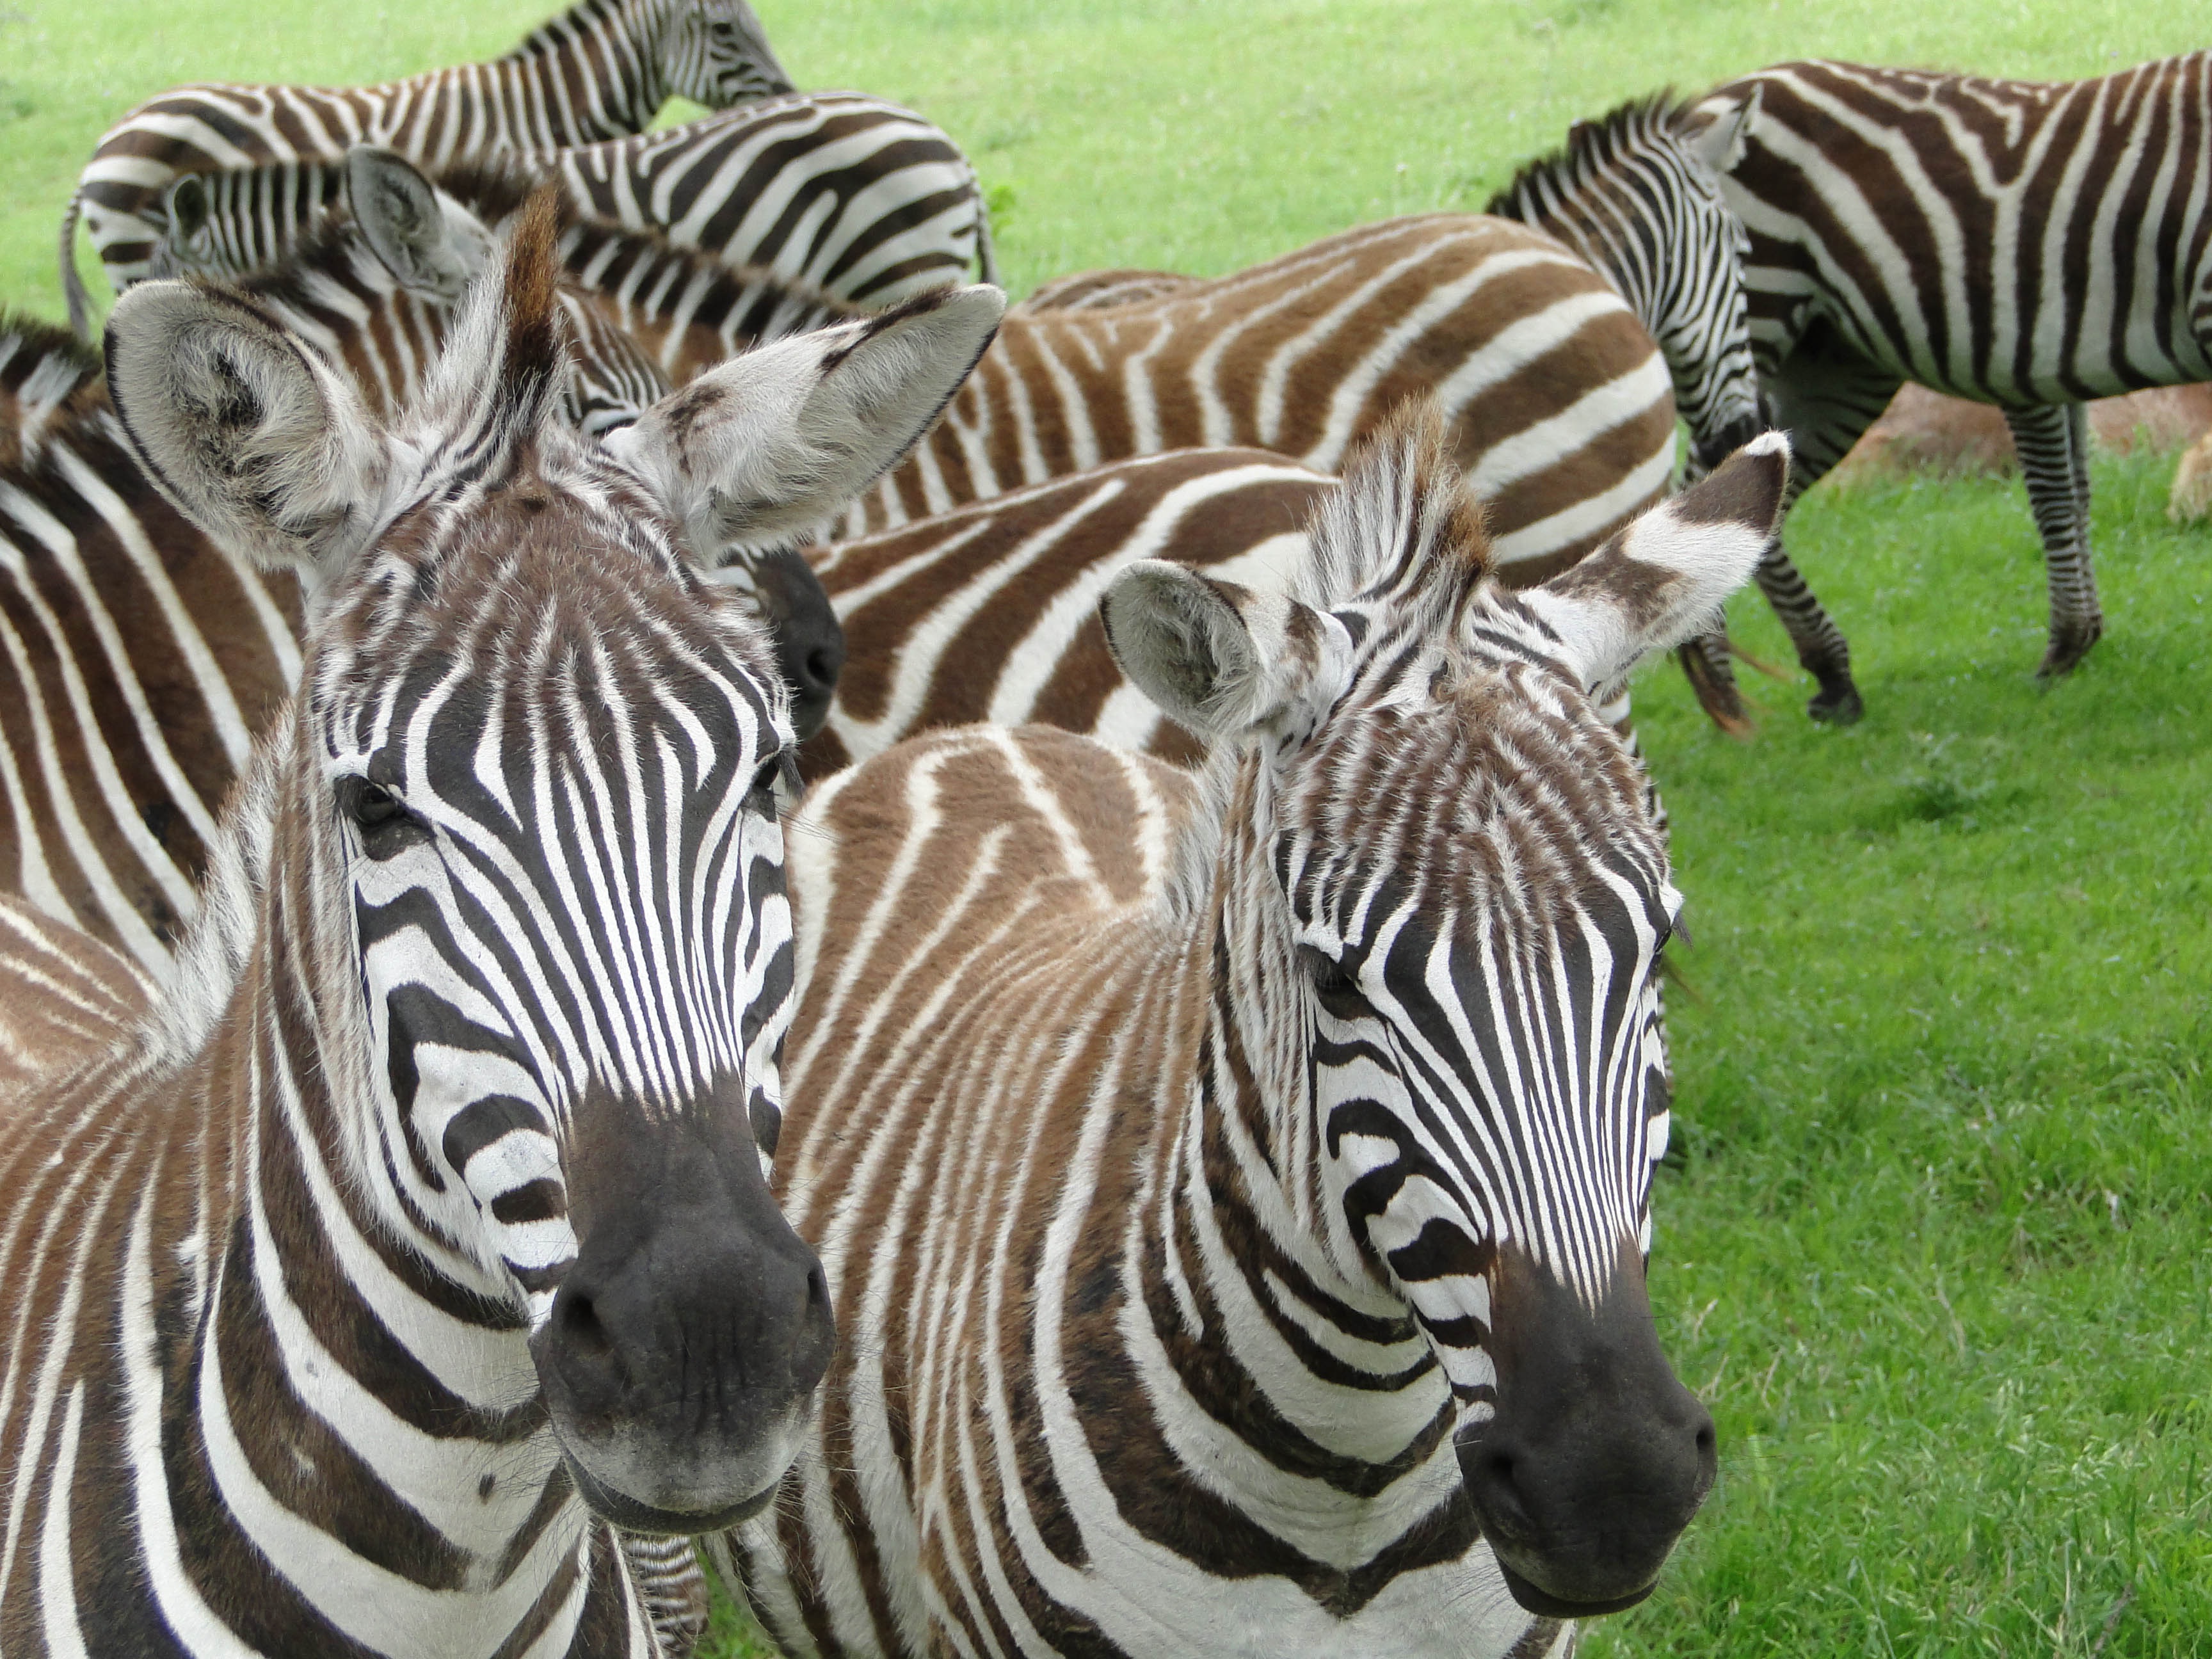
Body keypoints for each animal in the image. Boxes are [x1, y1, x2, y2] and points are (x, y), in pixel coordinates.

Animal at [1682, 54, 2212, 721]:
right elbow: (2057, 496)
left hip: (1835, 366)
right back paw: (1718, 681)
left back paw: (1801, 675)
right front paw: (2068, 646)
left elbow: (2076, 492)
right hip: (1751, 320)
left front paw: (2080, 638)